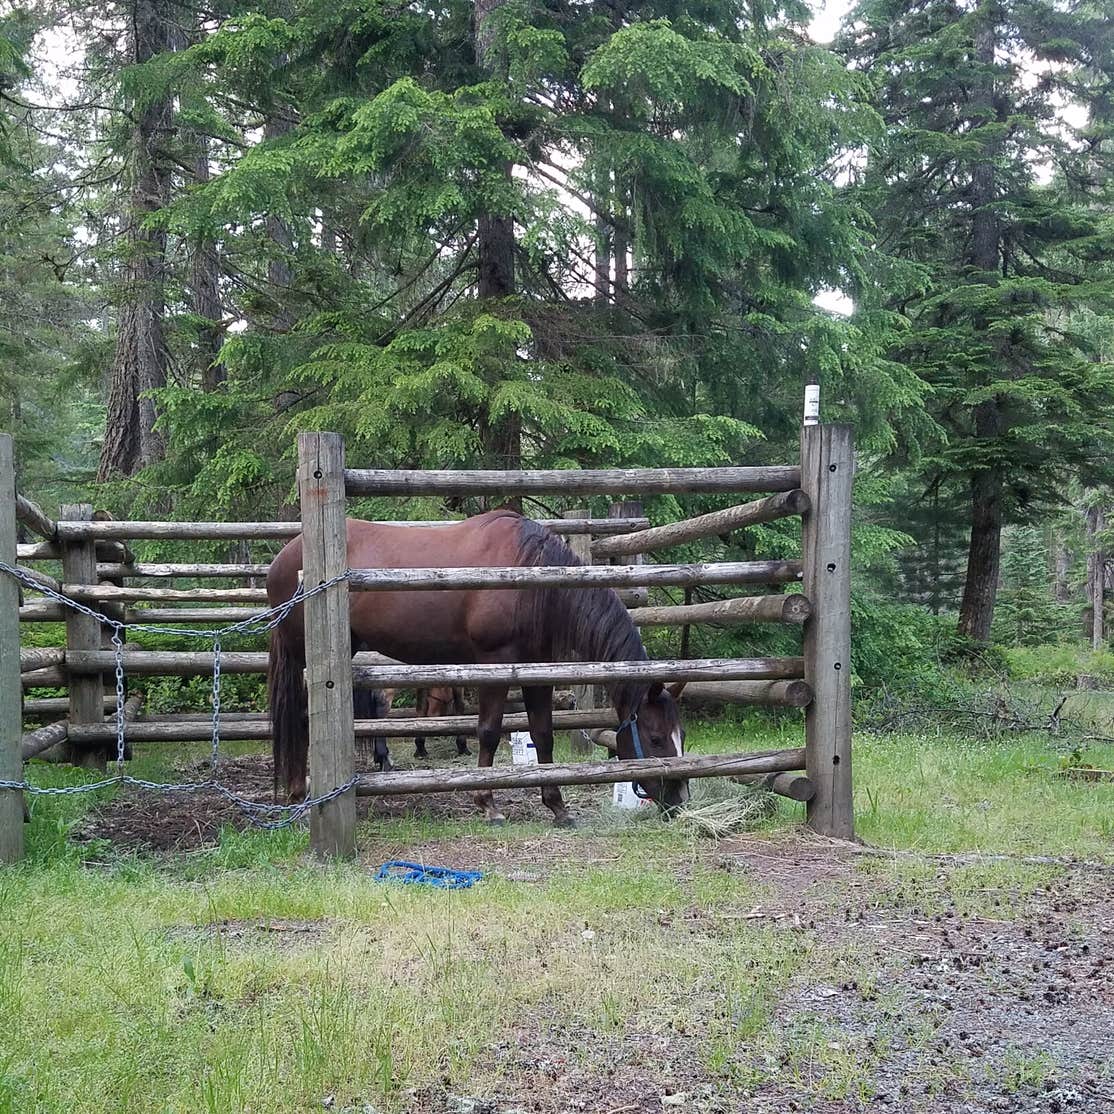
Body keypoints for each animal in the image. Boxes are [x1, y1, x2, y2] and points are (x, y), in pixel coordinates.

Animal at [267, 509, 689, 825]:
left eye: (681, 735)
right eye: (655, 738)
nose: (679, 799)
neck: (528, 575)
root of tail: (285, 556)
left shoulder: (536, 668)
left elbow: (543, 734)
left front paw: (557, 805)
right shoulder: (494, 661)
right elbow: (488, 731)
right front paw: (487, 802)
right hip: (304, 658)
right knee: (300, 719)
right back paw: (299, 795)